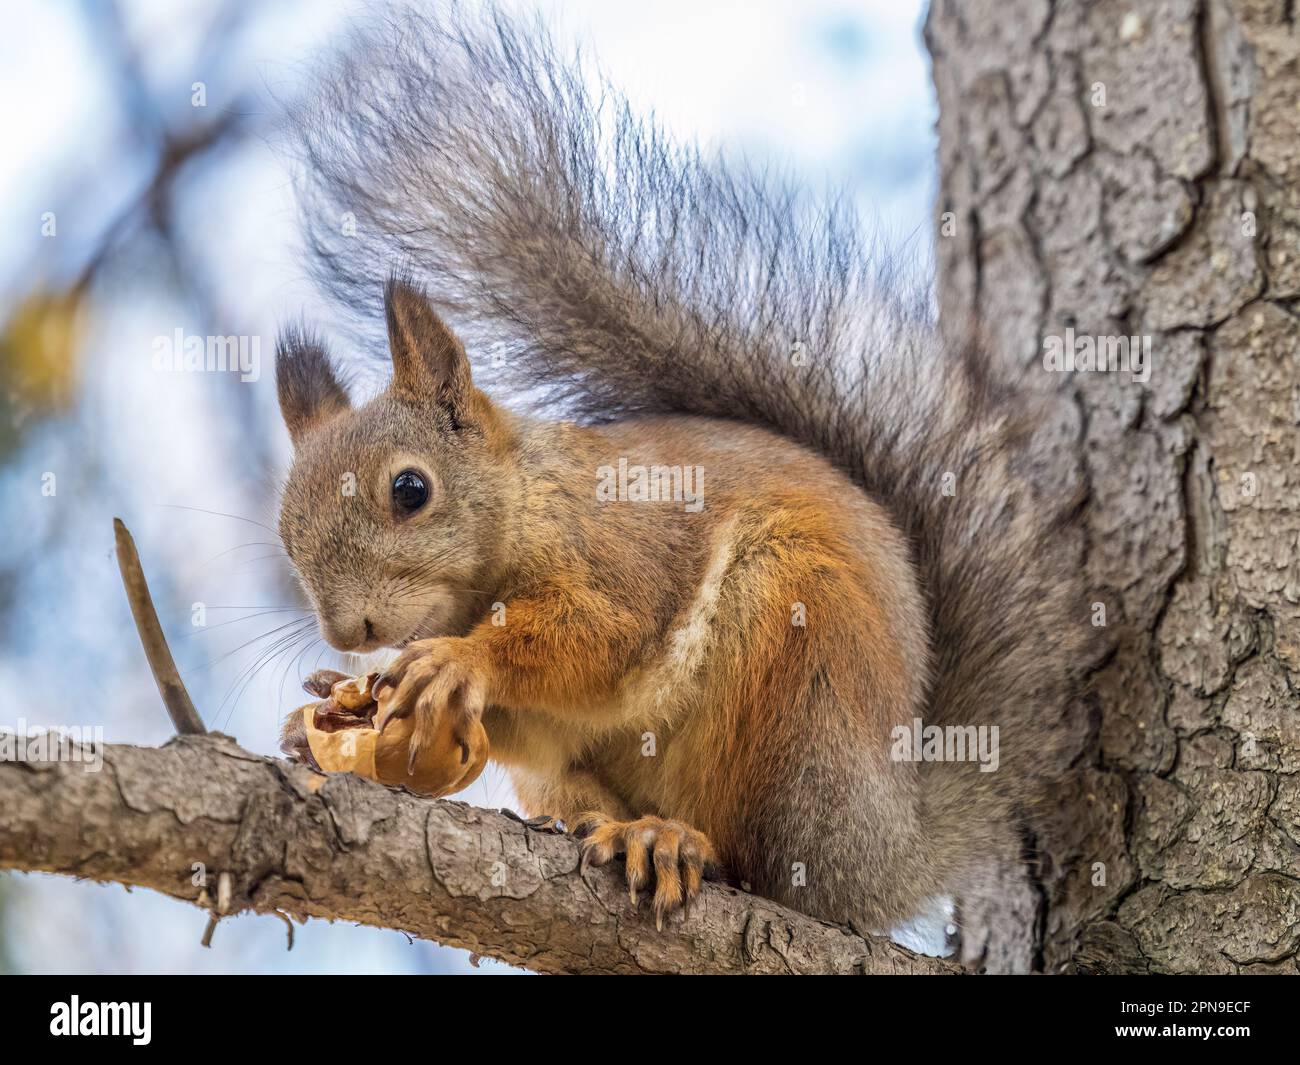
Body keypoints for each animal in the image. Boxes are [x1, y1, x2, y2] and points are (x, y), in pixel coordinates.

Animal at [274, 5, 1087, 939]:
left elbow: (600, 634)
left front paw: (459, 659)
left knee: (762, 860)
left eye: (411, 490)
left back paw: (676, 839)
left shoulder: (624, 549)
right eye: (286, 538)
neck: (526, 500)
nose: (349, 628)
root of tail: (885, 851)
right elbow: (528, 723)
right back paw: (609, 825)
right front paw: (326, 702)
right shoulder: (534, 726)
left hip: (794, 656)